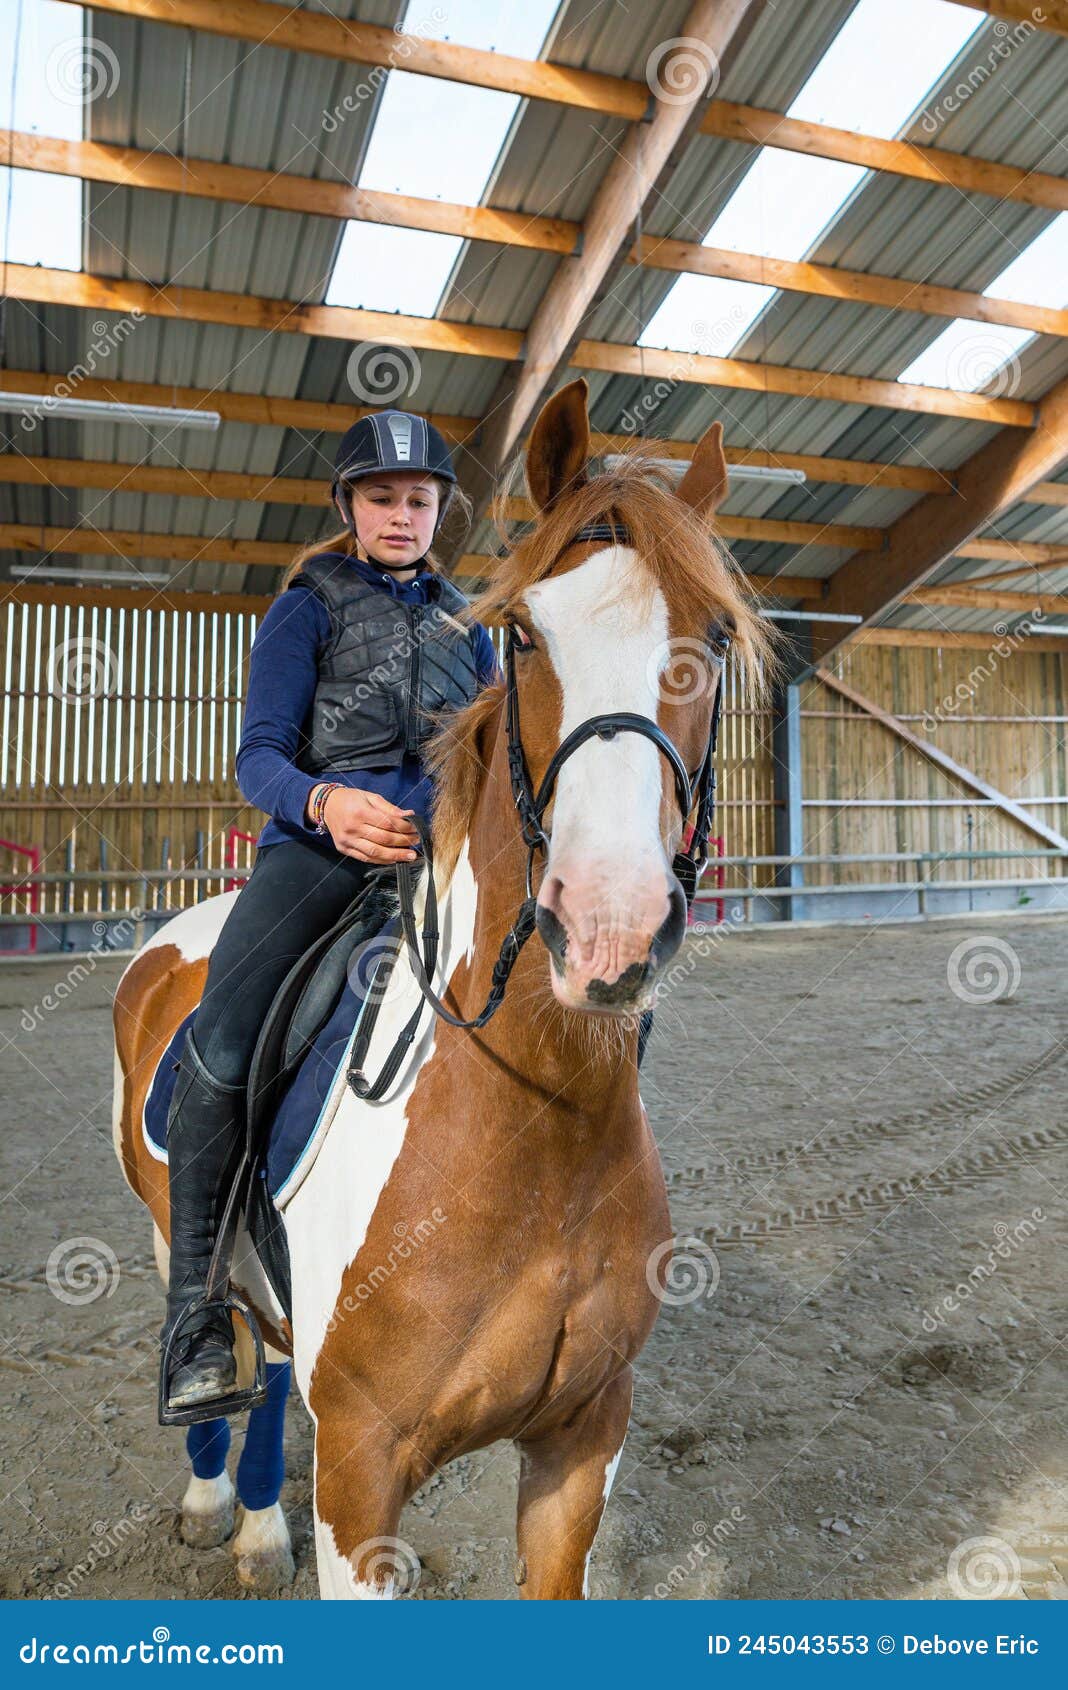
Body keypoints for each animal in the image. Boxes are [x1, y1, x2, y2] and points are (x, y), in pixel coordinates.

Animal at [112, 376, 767, 1599]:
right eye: (526, 635)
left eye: (707, 641)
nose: (605, 927)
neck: (537, 1120)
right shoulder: (363, 1476)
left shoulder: (581, 1442)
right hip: (166, 1226)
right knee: (224, 1345)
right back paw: (216, 1496)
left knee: (273, 1368)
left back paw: (260, 1528)